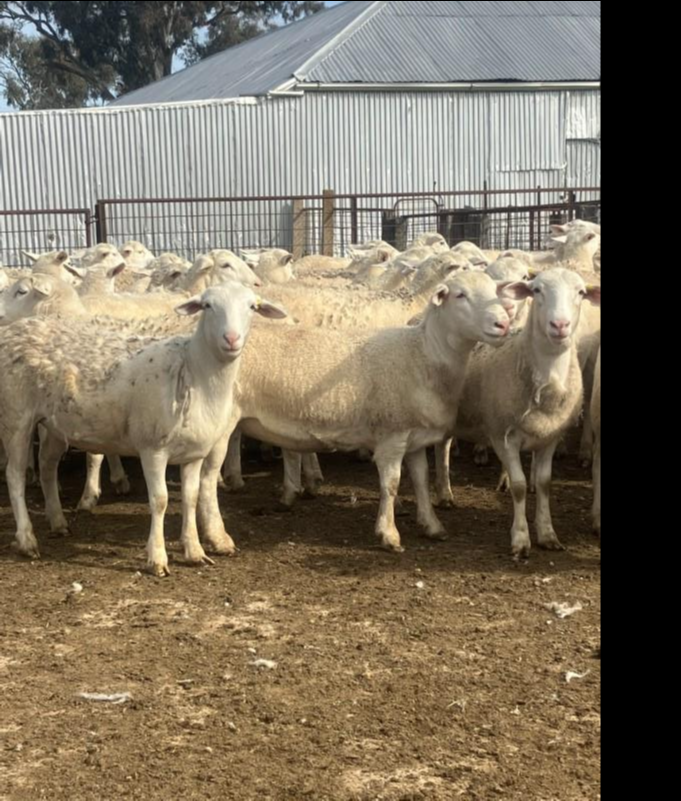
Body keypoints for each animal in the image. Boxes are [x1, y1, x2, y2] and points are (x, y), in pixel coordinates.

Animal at [0, 283, 287, 576]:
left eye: (252, 307)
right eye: (207, 306)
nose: (231, 339)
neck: (193, 369)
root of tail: (15, 329)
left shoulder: (193, 454)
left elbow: (191, 498)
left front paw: (194, 551)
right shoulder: (153, 448)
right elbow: (160, 500)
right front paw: (157, 558)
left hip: (54, 423)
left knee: (47, 466)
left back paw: (58, 522)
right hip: (16, 415)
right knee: (15, 475)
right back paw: (26, 540)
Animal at [231, 272, 512, 552]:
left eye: (494, 291)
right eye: (459, 295)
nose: (503, 324)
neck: (421, 354)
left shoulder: (415, 437)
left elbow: (420, 480)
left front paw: (432, 525)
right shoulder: (392, 435)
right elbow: (391, 484)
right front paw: (388, 534)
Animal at [438, 269, 601, 558]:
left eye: (581, 292)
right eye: (536, 290)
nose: (559, 325)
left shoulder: (550, 437)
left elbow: (545, 483)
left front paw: (547, 534)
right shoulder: (503, 437)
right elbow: (520, 485)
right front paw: (521, 538)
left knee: (444, 446)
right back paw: (443, 494)